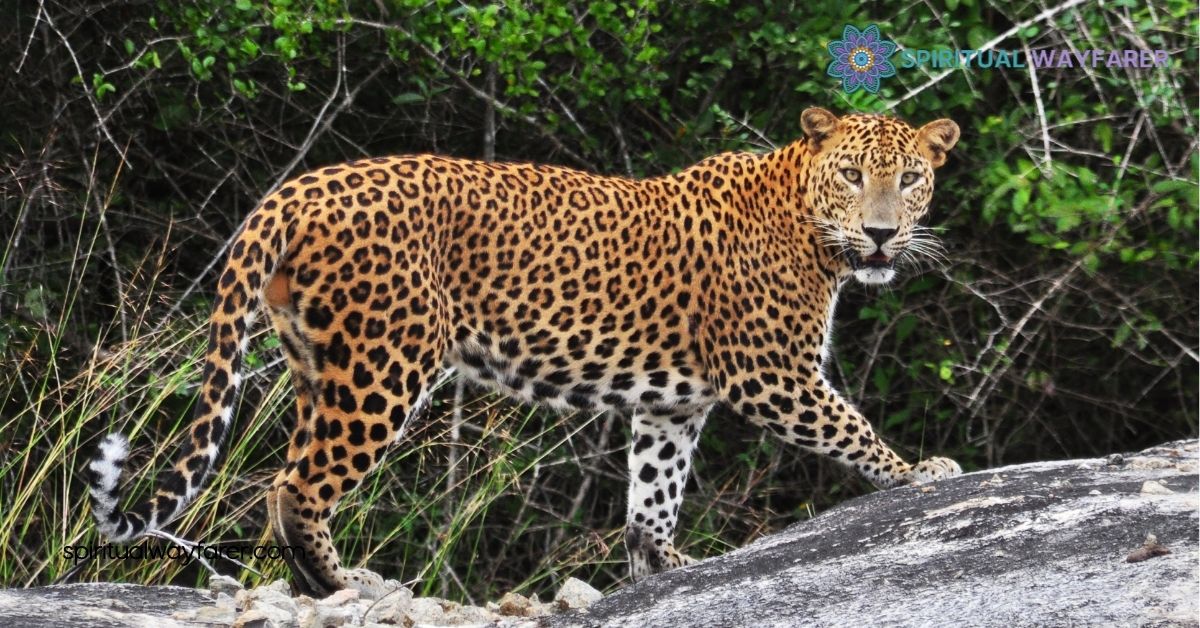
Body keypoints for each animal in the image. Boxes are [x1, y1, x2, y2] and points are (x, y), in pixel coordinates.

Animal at [88, 107, 962, 598]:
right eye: (852, 174)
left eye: (911, 178)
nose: (881, 233)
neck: (814, 230)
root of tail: (296, 188)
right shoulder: (771, 372)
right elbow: (851, 427)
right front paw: (922, 472)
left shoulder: (672, 404)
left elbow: (653, 493)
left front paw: (661, 567)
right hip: (384, 363)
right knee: (297, 484)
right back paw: (346, 585)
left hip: (319, 366)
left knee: (288, 475)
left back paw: (325, 584)